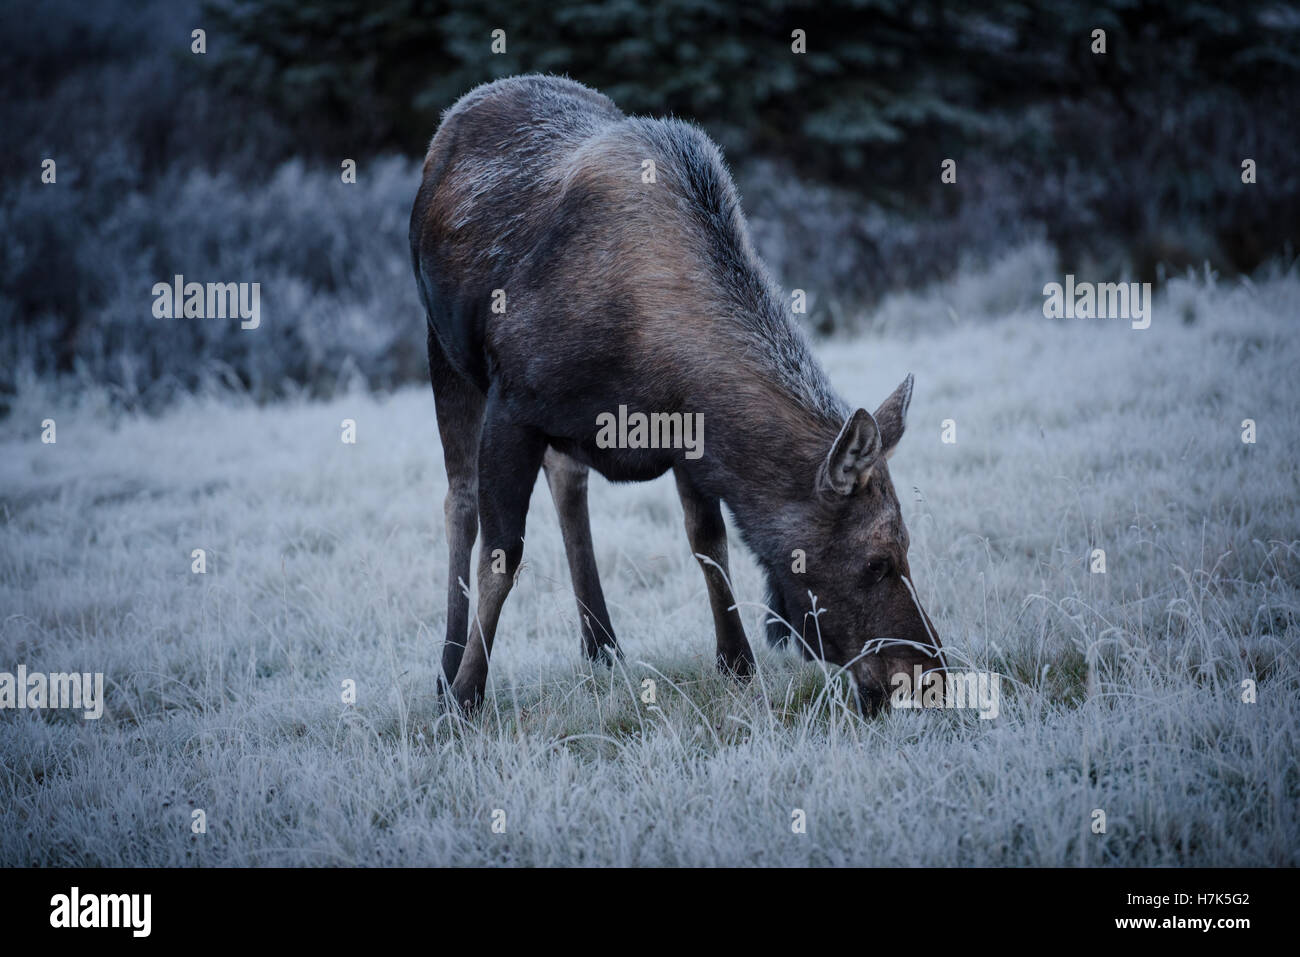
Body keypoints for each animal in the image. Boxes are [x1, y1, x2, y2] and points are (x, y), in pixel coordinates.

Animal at [410, 75, 943, 715]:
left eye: (907, 546)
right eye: (877, 561)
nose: (929, 673)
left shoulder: (688, 433)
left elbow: (709, 540)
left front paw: (736, 662)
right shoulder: (512, 404)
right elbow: (502, 555)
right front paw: (466, 694)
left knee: (568, 483)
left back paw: (602, 644)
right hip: (443, 347)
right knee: (459, 501)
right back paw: (446, 666)